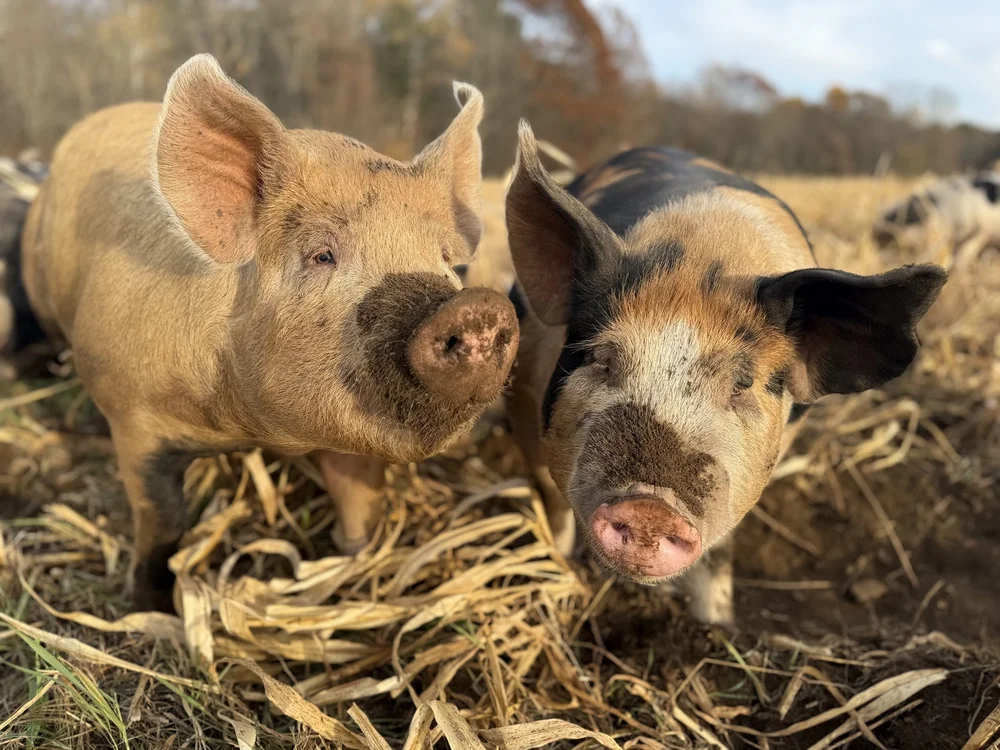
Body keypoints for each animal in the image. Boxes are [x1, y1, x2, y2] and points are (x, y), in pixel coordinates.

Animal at [19, 54, 518, 610]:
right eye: (321, 255)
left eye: (447, 260)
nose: (476, 308)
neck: (250, 431)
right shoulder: (133, 414)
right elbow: (162, 522)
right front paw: (149, 603)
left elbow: (360, 504)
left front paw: (349, 560)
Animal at [504, 121, 946, 625]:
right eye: (601, 357)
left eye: (742, 384)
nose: (649, 505)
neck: (706, 251)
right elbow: (551, 503)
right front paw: (558, 571)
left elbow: (718, 556)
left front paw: (716, 624)